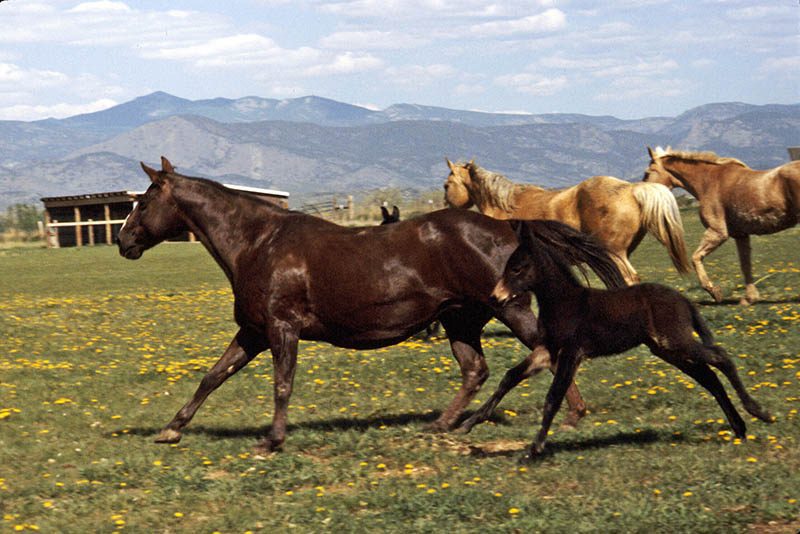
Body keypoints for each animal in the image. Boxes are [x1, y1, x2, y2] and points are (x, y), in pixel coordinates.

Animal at [117, 157, 625, 453]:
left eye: (143, 201)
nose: (123, 241)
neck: (258, 243)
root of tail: (510, 228)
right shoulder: (254, 332)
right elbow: (213, 376)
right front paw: (172, 428)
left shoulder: (281, 329)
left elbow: (282, 384)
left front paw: (272, 439)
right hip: (459, 320)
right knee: (475, 370)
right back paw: (441, 425)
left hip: (509, 308)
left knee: (545, 351)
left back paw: (570, 414)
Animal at [484, 220, 773, 462]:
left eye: (517, 268)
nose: (495, 298)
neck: (565, 303)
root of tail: (684, 300)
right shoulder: (548, 350)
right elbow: (510, 376)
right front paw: (475, 419)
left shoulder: (571, 352)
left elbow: (553, 396)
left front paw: (534, 450)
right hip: (667, 350)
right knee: (709, 377)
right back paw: (739, 427)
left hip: (676, 342)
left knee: (720, 357)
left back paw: (759, 412)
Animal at [644, 146, 800, 304]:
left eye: (648, 172)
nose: (645, 196)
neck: (708, 182)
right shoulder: (741, 235)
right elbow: (745, 264)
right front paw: (749, 298)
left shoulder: (717, 232)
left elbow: (696, 257)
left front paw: (714, 292)